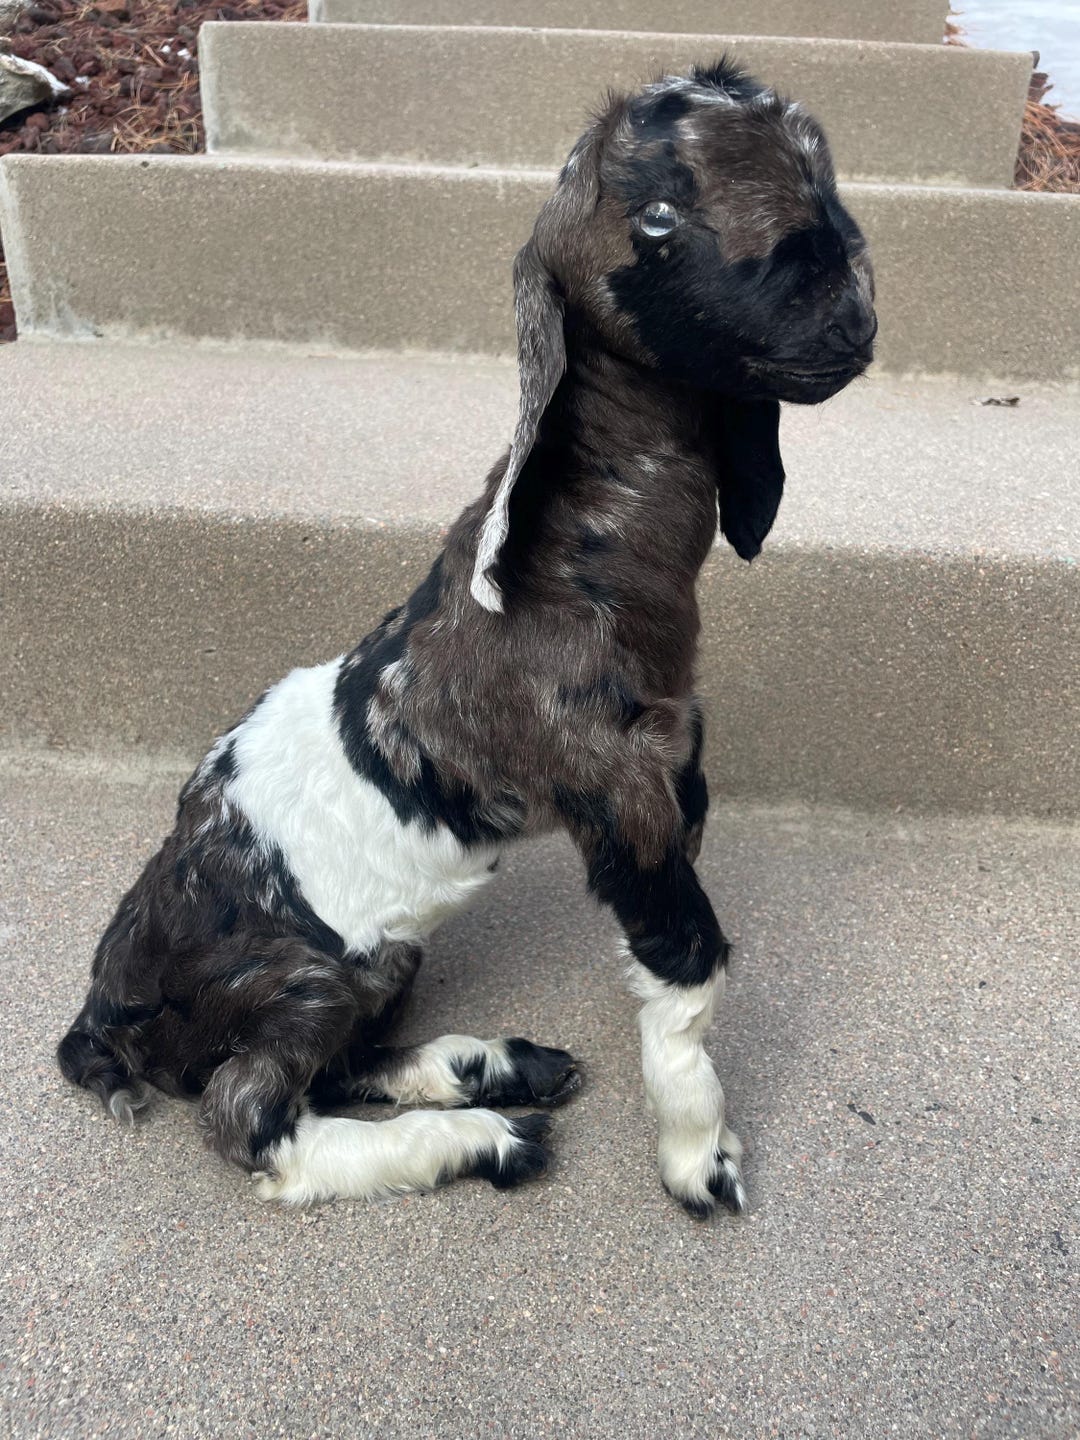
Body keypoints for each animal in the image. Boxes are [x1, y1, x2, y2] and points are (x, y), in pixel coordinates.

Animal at [58, 60, 876, 1216]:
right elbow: (687, 966)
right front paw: (698, 1157)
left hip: (380, 962)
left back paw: (490, 1067)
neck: (573, 561)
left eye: (823, 176)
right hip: (301, 980)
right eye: (658, 216)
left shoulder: (680, 765)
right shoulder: (621, 796)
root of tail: (100, 1015)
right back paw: (489, 1137)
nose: (849, 303)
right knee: (251, 1115)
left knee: (337, 1066)